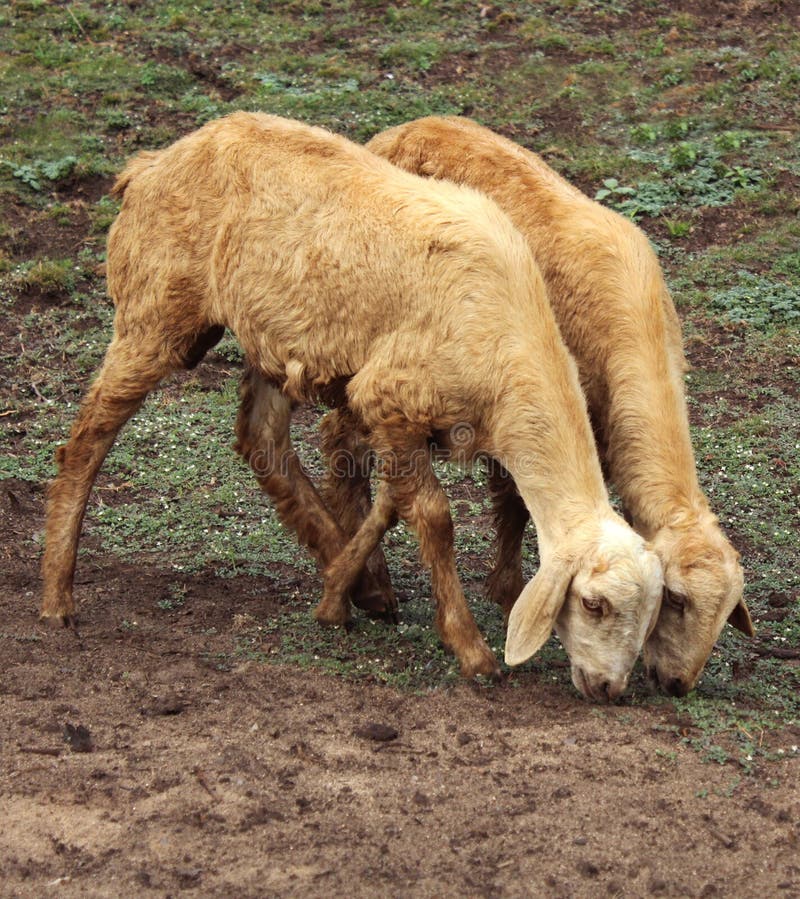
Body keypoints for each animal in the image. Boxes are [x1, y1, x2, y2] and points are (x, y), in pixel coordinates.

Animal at [39, 111, 663, 697]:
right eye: (594, 604)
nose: (609, 690)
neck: (510, 347)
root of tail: (150, 164)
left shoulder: (396, 416)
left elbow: (390, 501)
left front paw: (343, 592)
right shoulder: (390, 396)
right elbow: (433, 517)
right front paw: (469, 648)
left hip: (274, 335)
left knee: (261, 440)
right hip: (154, 313)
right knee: (86, 442)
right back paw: (57, 597)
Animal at [334, 115, 751, 696]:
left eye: (728, 611)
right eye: (677, 598)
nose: (677, 685)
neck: (635, 328)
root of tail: (405, 127)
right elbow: (512, 502)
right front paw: (509, 592)